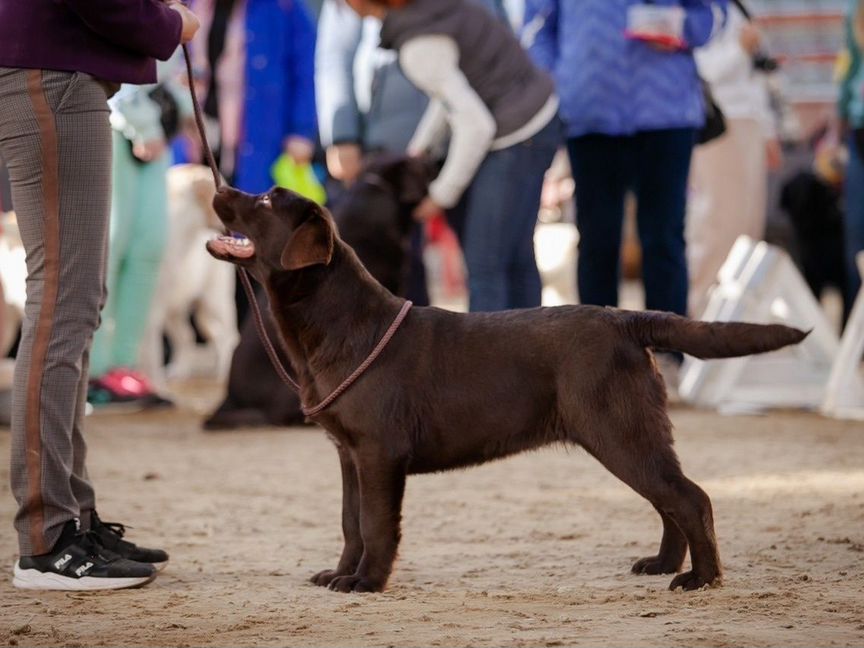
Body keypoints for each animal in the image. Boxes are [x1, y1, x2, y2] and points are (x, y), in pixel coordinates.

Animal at [206, 186, 808, 592]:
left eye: (265, 201)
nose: (220, 188)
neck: (343, 324)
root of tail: (627, 318)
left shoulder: (379, 452)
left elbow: (376, 525)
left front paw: (366, 583)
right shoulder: (348, 454)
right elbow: (350, 522)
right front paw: (340, 573)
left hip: (620, 432)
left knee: (690, 497)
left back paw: (700, 578)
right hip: (630, 434)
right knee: (670, 501)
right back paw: (662, 565)